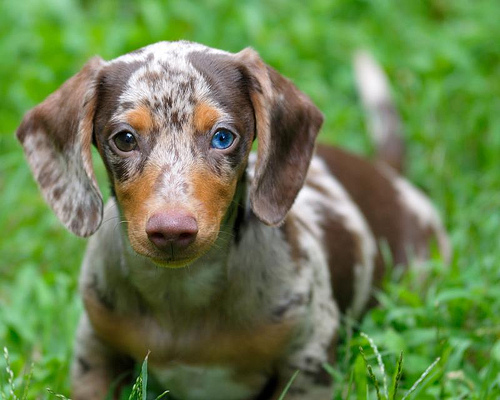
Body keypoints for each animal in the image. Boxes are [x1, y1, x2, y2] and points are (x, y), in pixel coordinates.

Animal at [16, 41, 449, 400]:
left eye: (223, 137)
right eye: (124, 139)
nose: (171, 230)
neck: (180, 294)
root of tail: (385, 172)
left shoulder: (308, 357)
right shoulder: (94, 347)